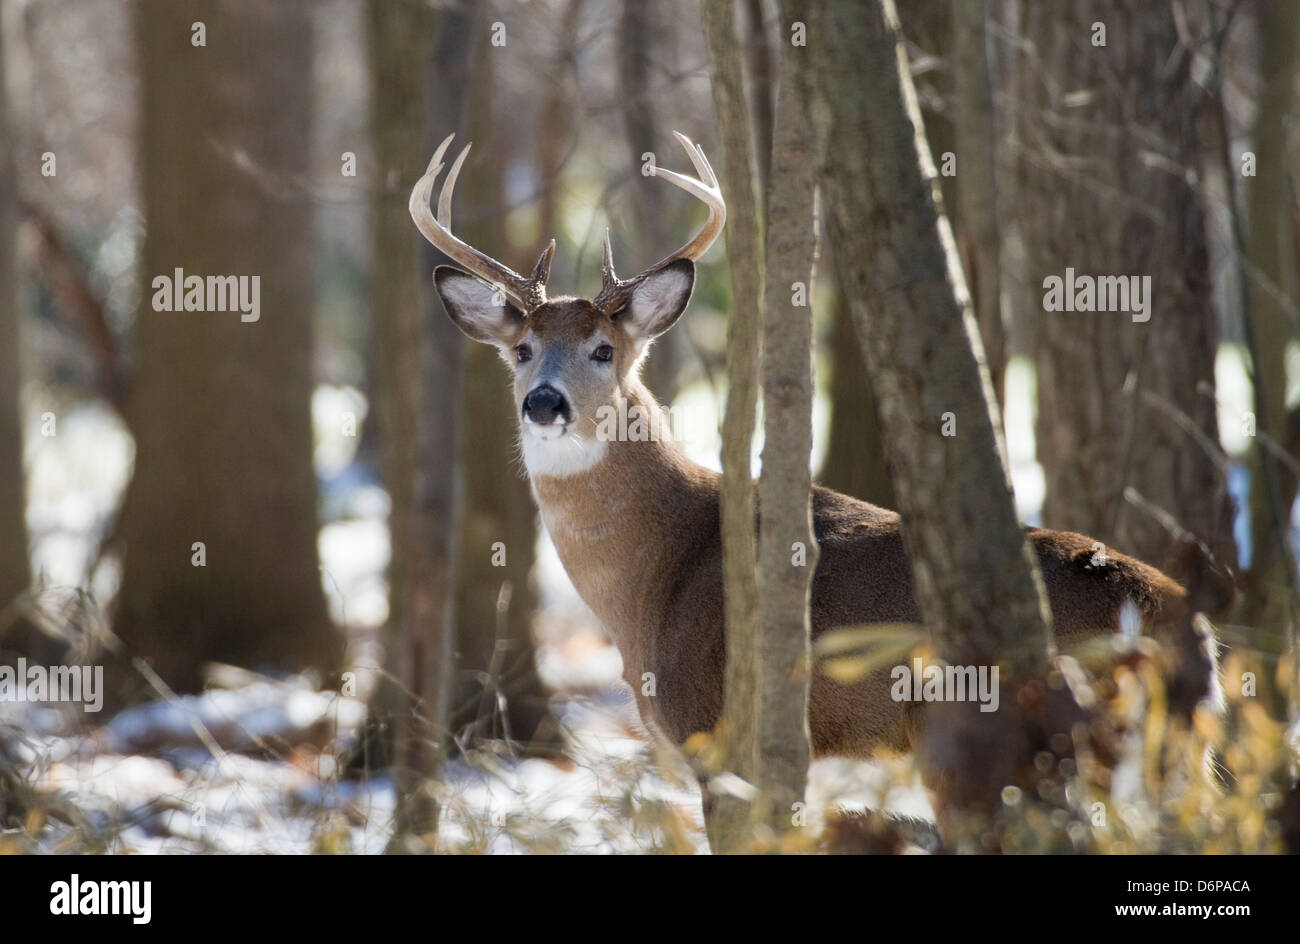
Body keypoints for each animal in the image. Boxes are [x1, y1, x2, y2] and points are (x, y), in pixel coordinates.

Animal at [410, 131, 1223, 826]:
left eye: (604, 349)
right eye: (521, 349)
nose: (544, 402)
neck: (651, 581)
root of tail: (1185, 620)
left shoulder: (723, 739)